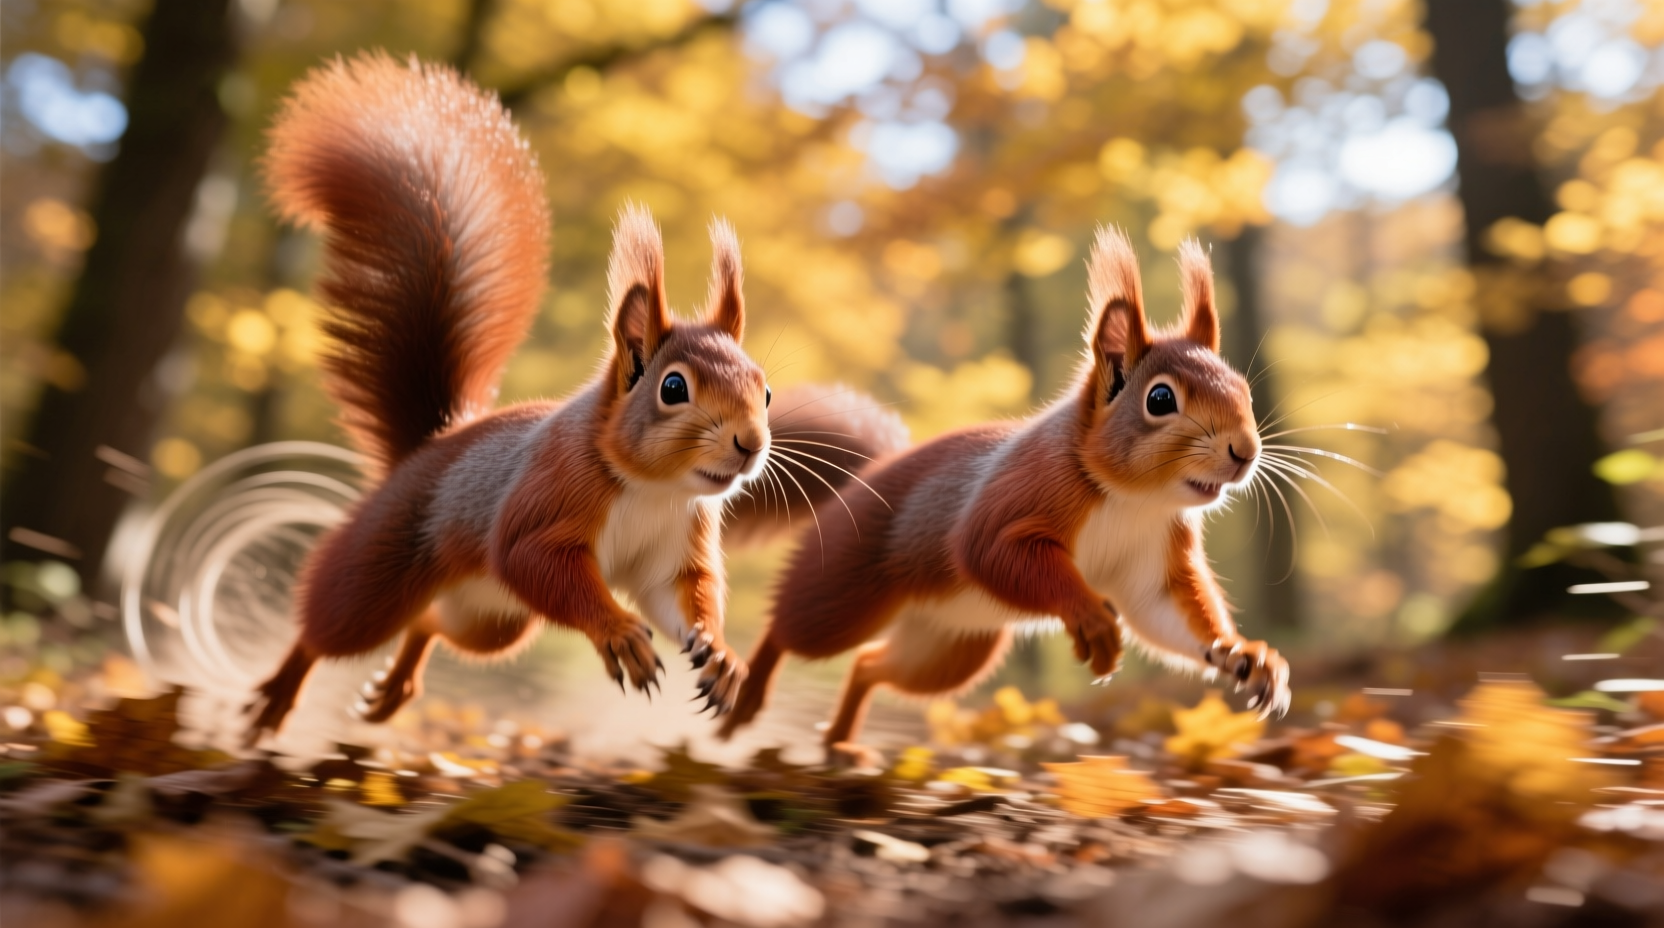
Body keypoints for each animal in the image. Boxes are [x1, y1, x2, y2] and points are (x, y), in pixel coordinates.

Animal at [245, 52, 898, 742]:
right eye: (673, 387)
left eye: (766, 391)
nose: (750, 443)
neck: (653, 489)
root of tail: (426, 450)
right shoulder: (549, 493)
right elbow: (535, 560)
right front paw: (619, 635)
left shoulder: (675, 549)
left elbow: (681, 595)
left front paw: (719, 657)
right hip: (382, 568)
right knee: (329, 626)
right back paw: (277, 696)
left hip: (490, 620)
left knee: (429, 625)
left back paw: (392, 690)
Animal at [717, 227, 1290, 757]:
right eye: (1161, 399)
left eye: (1242, 388)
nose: (1246, 451)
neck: (1132, 500)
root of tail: (863, 482)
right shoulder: (1024, 491)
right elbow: (992, 550)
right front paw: (1091, 620)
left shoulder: (1151, 560)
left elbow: (1166, 614)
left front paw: (1244, 655)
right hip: (842, 588)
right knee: (791, 629)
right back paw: (746, 695)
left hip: (949, 646)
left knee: (869, 666)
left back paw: (839, 741)